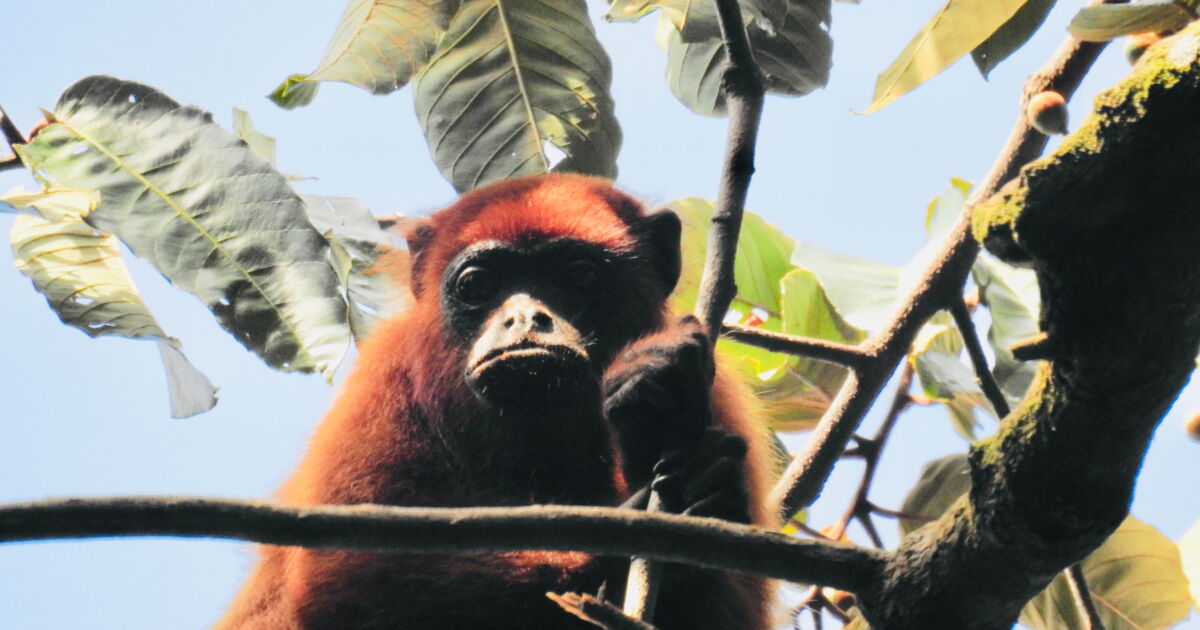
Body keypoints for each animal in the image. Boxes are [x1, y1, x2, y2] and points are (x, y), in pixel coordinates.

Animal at [215, 174, 776, 630]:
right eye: (477, 285)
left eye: (580, 275)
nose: (525, 317)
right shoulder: (385, 377)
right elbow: (342, 585)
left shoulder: (715, 387)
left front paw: (680, 447)